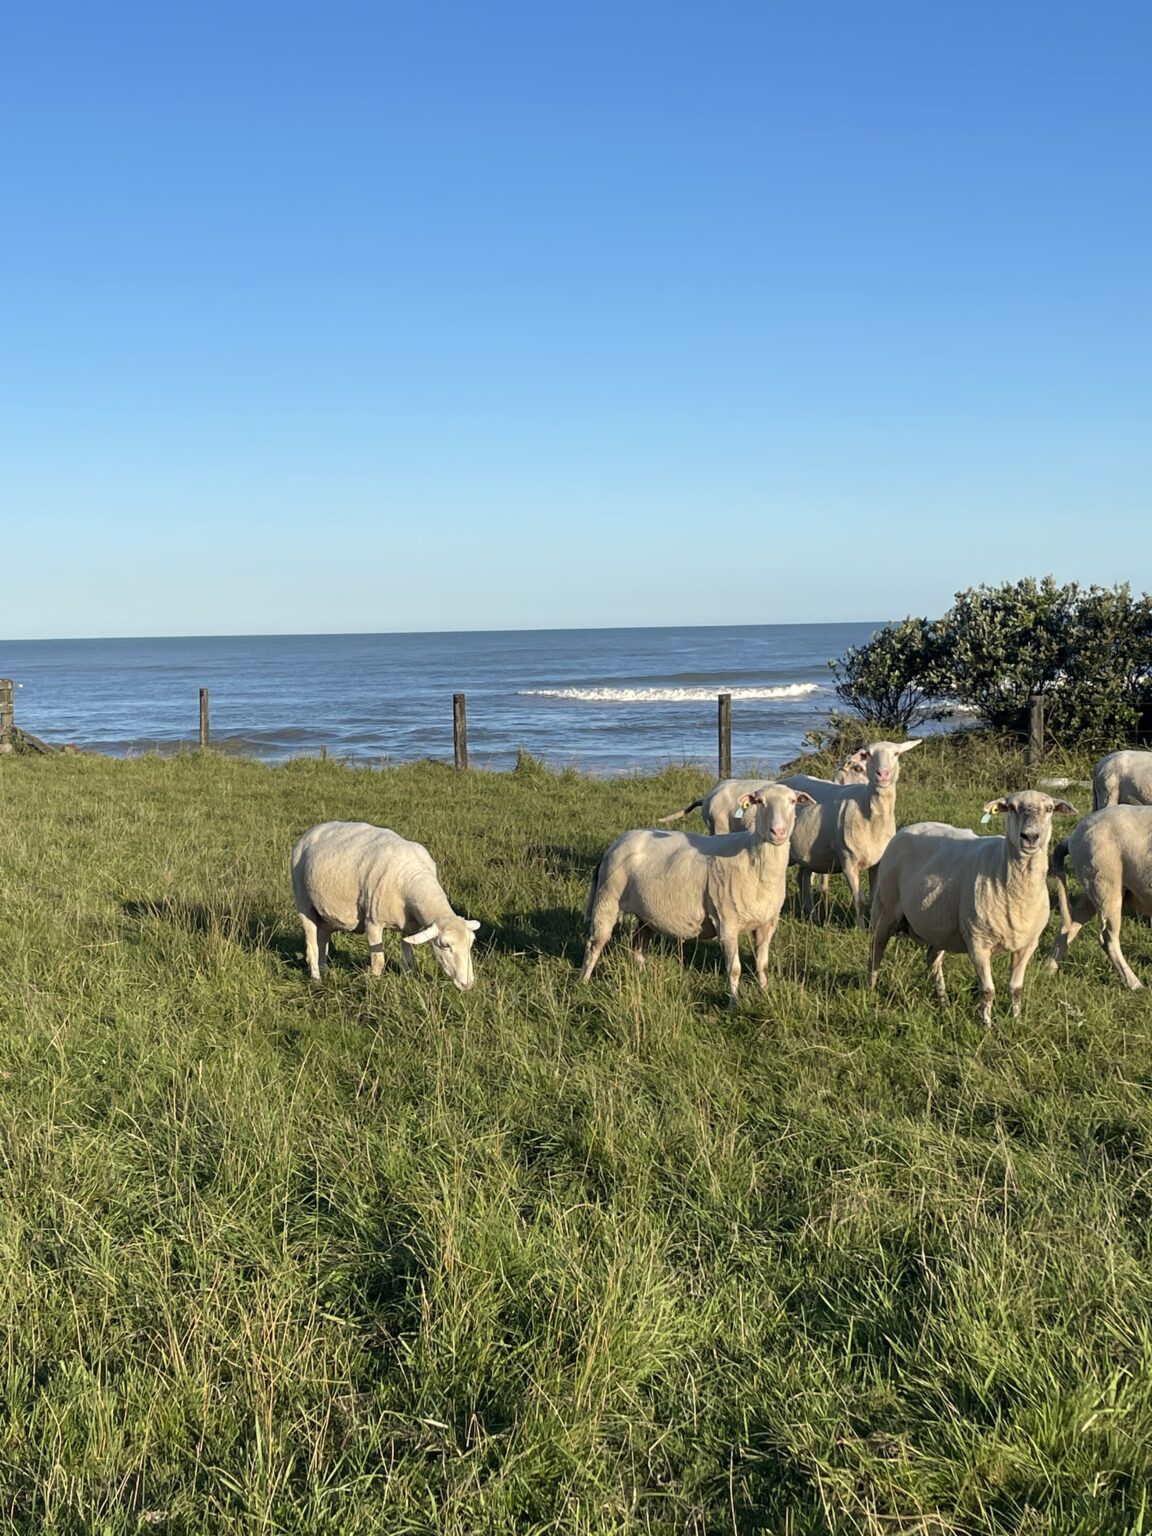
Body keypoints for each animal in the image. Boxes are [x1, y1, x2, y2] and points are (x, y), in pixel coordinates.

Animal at [290, 820, 479, 987]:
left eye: (471, 943)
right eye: (446, 945)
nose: (467, 984)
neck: (412, 877)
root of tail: (312, 831)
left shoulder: (410, 927)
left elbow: (408, 958)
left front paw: (408, 981)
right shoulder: (373, 924)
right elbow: (378, 962)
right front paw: (375, 987)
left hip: (326, 911)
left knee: (323, 938)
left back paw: (325, 972)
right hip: (303, 902)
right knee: (312, 946)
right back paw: (317, 979)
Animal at [580, 784, 816, 1002]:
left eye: (793, 801)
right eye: (759, 801)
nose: (778, 832)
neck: (753, 861)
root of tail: (616, 843)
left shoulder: (767, 923)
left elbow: (762, 964)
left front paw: (765, 993)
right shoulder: (726, 922)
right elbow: (734, 969)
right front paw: (734, 1003)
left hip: (646, 913)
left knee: (636, 944)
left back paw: (644, 974)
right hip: (607, 899)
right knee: (595, 944)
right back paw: (583, 982)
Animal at [780, 739, 922, 926]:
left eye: (896, 753)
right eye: (867, 754)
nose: (882, 774)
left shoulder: (877, 863)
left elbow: (873, 899)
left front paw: (870, 927)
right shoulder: (848, 861)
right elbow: (859, 900)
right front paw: (859, 928)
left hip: (808, 854)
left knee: (803, 879)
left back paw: (812, 916)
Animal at [868, 791, 1077, 1025]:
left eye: (1049, 809)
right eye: (1011, 808)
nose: (1030, 837)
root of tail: (908, 828)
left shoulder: (1028, 945)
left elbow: (1016, 988)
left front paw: (1016, 1021)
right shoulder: (978, 943)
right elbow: (987, 991)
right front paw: (986, 1025)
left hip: (941, 927)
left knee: (932, 960)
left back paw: (943, 1001)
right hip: (884, 910)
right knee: (875, 951)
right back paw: (870, 991)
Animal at [1045, 805, 1152, 989]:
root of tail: (1073, 837)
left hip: (1094, 885)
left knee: (1070, 924)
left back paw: (1049, 969)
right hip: (1106, 884)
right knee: (1107, 938)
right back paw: (1135, 984)